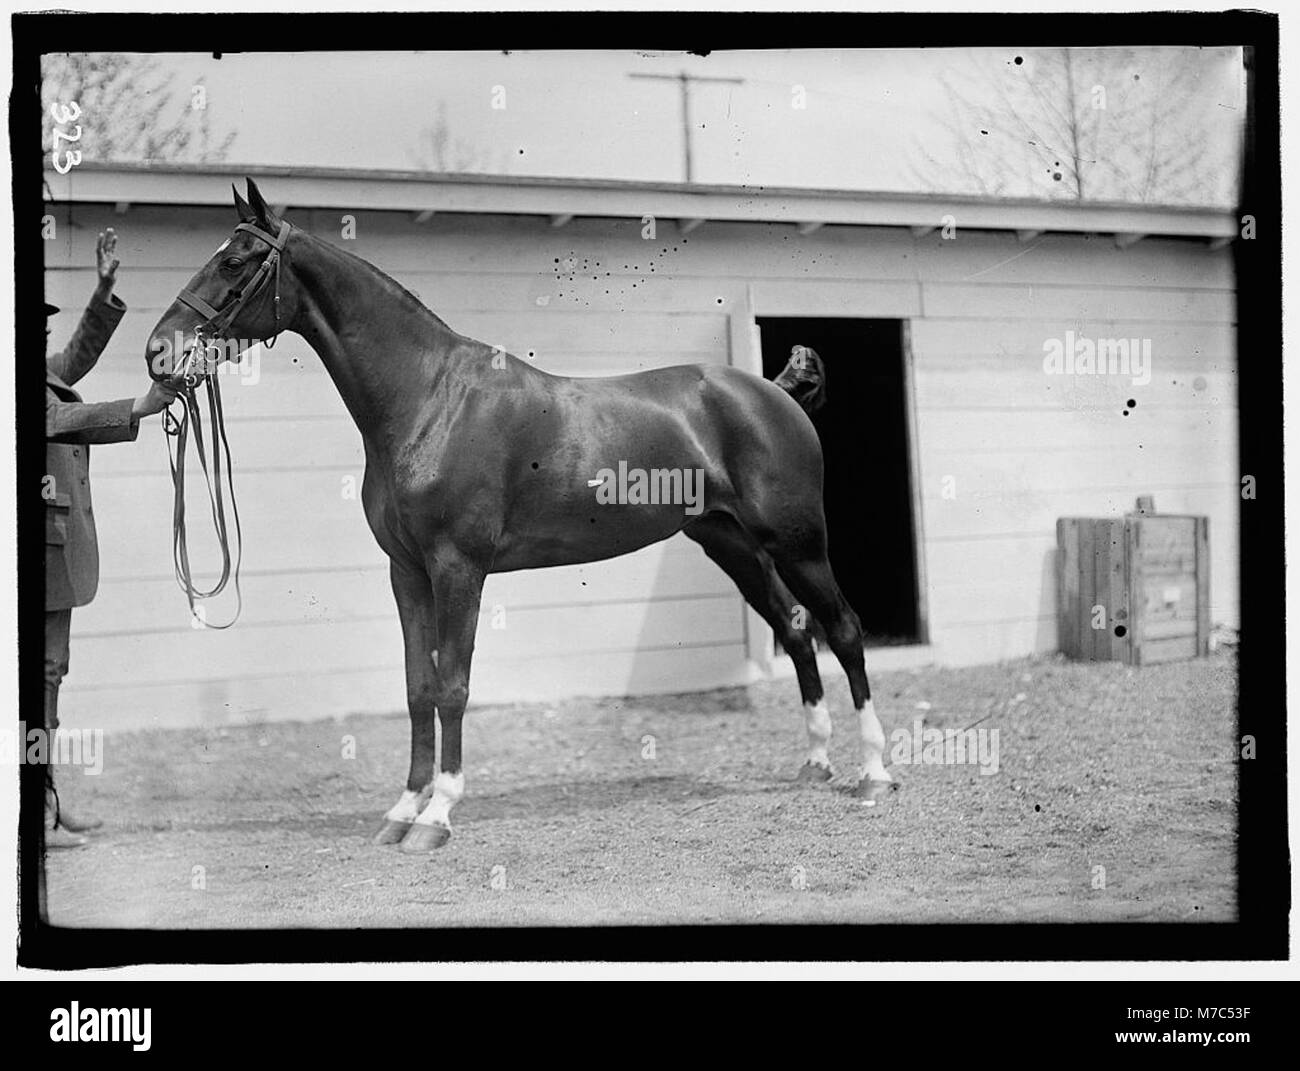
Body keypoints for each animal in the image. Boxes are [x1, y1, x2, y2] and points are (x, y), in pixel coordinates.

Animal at [144, 178, 894, 853]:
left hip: (798, 543)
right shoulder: (406, 572)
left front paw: (437, 814)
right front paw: (401, 809)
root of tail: (773, 390)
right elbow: (417, 687)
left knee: (844, 629)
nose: (159, 351)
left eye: (235, 261)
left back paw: (875, 775)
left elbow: (452, 686)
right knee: (796, 629)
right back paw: (816, 763)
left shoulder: (458, 569)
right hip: (732, 543)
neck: (428, 399)